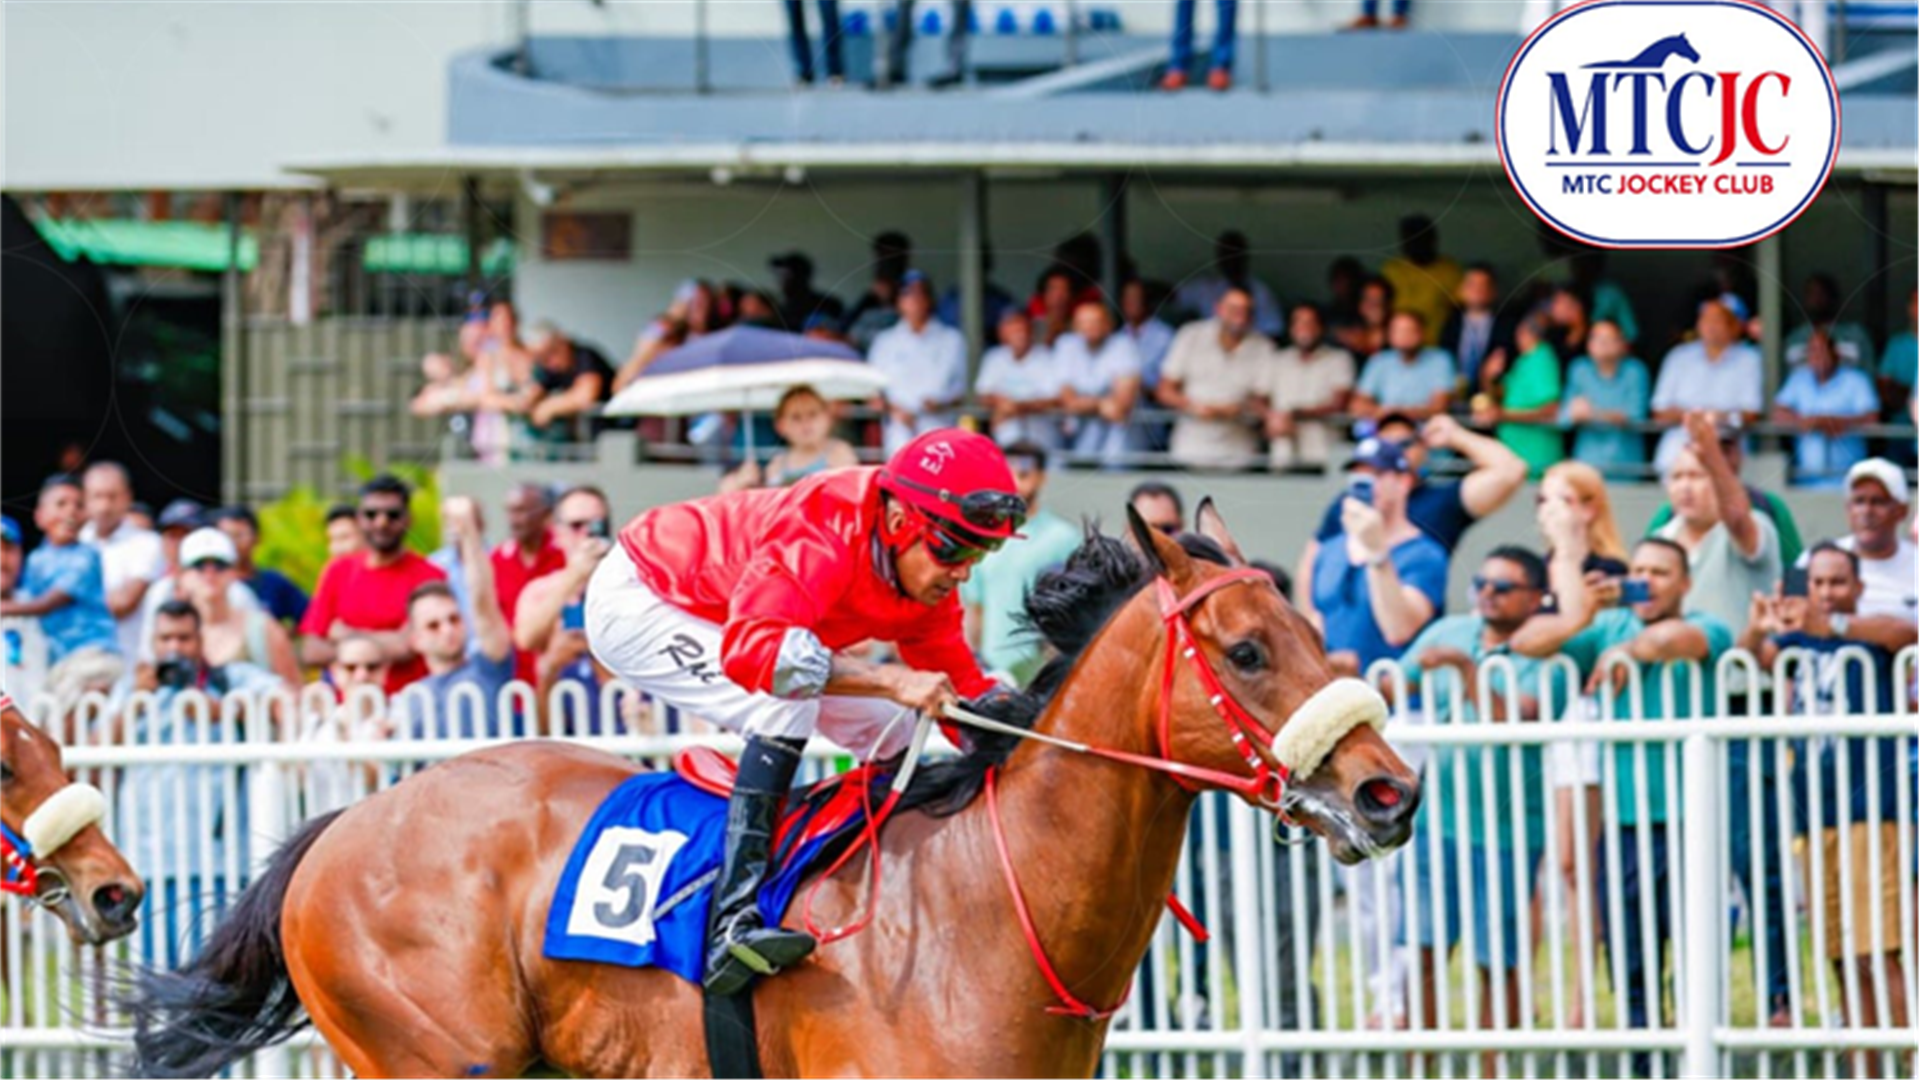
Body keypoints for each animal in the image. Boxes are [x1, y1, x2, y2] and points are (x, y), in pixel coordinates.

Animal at [129, 505, 1421, 1079]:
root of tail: (346, 822)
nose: (1388, 793)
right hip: (435, 1057)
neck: (984, 916)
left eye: (1316, 629)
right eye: (1245, 651)